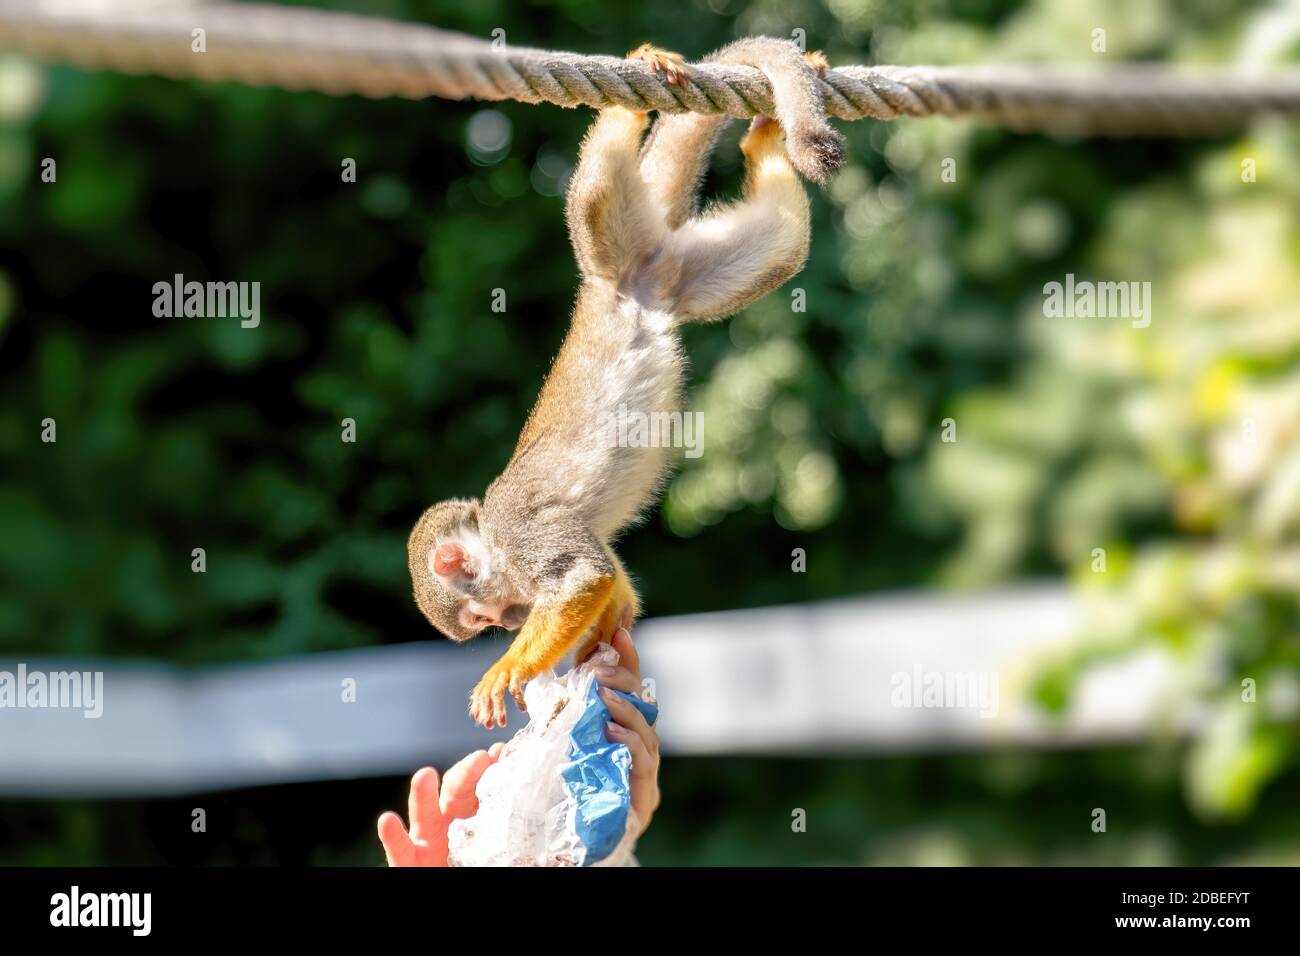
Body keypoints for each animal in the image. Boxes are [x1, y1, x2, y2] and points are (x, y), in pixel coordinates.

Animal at [408, 39, 845, 728]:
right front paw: (599, 663)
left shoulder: (516, 529)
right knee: (783, 244)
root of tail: (637, 275)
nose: (509, 620)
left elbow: (582, 575)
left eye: (484, 618)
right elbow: (609, 579)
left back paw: (628, 102)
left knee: (591, 198)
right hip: (690, 271)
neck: (490, 539)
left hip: (612, 244)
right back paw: (764, 145)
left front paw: (506, 670)